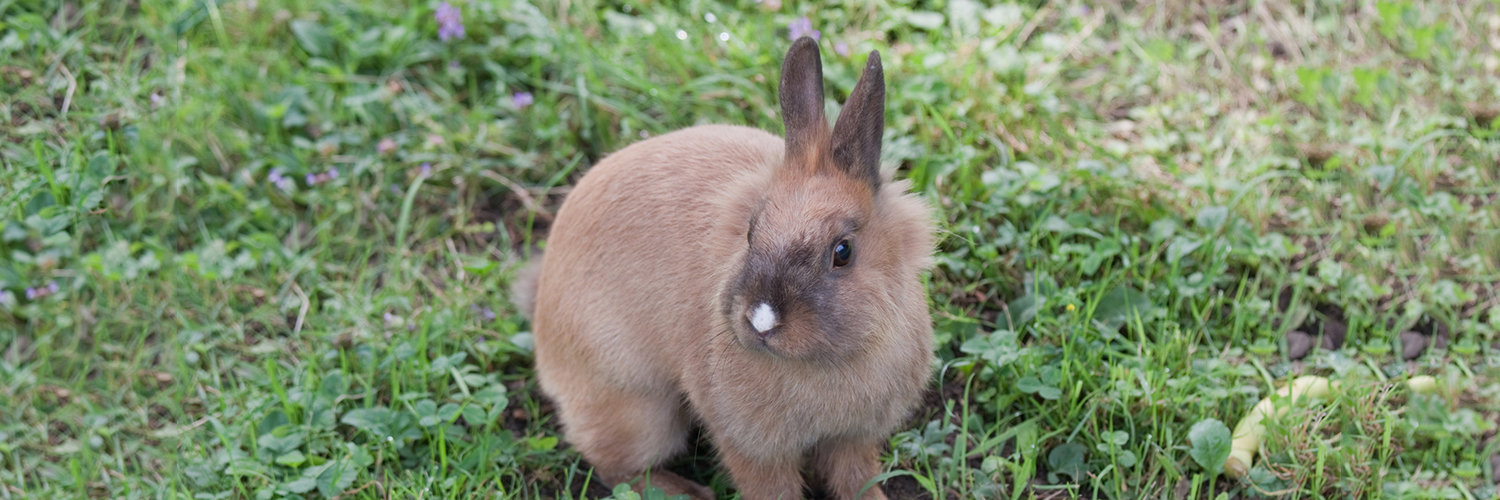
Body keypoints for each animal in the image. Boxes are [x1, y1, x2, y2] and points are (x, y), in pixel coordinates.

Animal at [515, 37, 936, 500]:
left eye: (842, 252)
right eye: (751, 232)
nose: (762, 320)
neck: (825, 361)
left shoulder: (853, 439)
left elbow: (856, 478)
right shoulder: (752, 448)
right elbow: (773, 489)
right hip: (637, 410)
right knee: (618, 468)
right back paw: (691, 492)